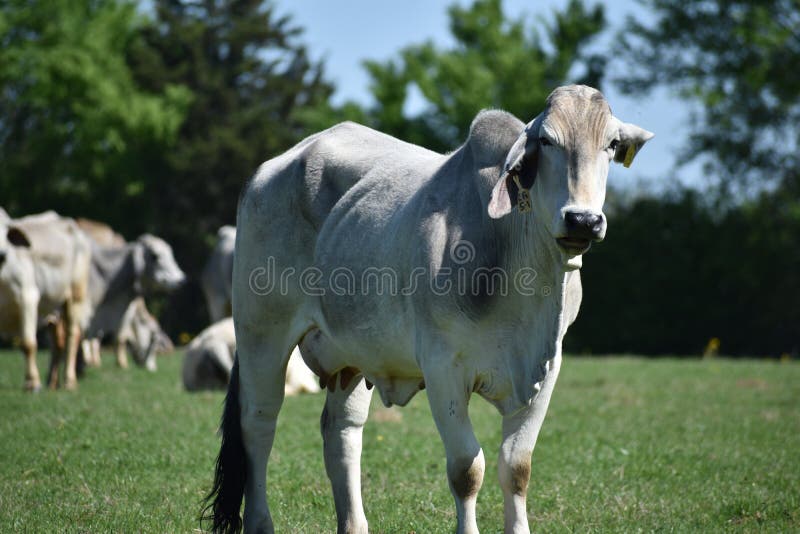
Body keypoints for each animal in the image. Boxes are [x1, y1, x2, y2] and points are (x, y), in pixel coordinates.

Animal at [0, 211, 92, 391]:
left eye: (5, 231)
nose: (2, 254)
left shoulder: (27, 297)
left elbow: (28, 344)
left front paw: (32, 383)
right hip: (52, 309)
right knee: (58, 342)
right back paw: (52, 383)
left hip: (75, 297)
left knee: (72, 336)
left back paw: (69, 381)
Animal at [203, 85, 653, 533]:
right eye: (546, 140)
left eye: (612, 144)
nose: (583, 220)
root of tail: (269, 169)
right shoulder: (443, 369)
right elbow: (467, 469)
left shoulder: (545, 368)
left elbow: (517, 467)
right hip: (261, 332)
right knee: (258, 423)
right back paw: (260, 521)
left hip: (351, 353)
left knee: (342, 432)